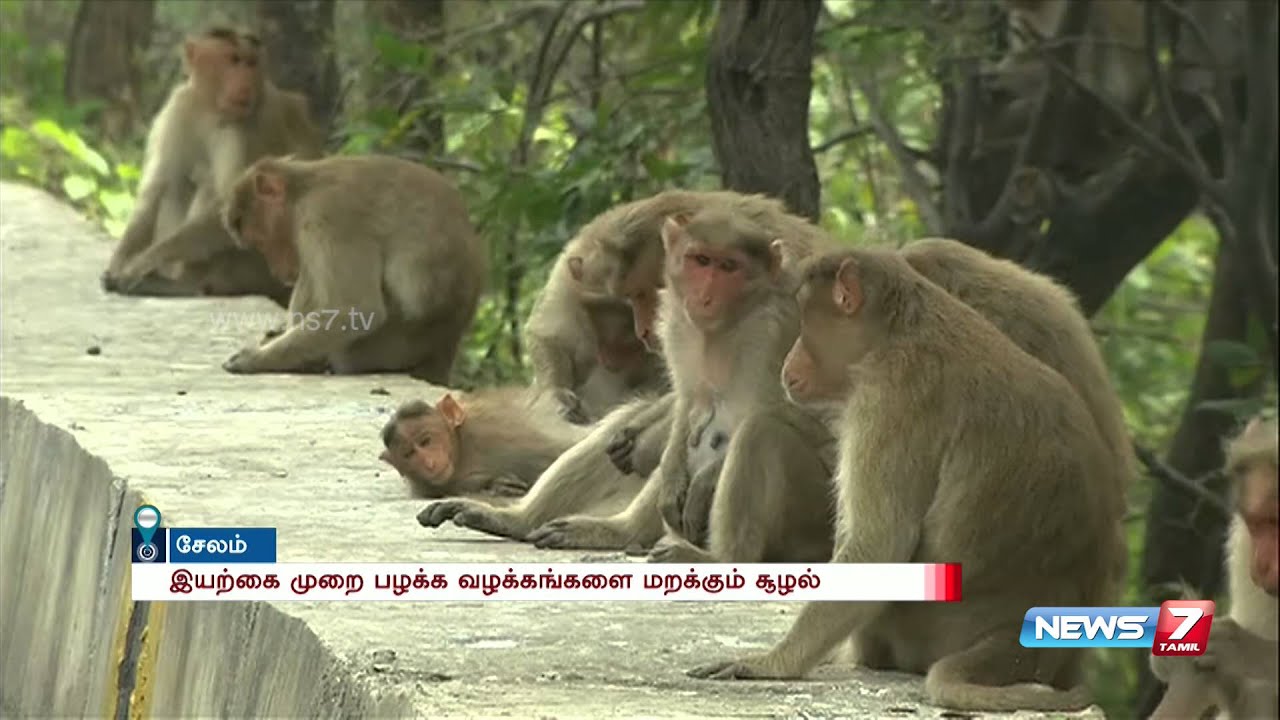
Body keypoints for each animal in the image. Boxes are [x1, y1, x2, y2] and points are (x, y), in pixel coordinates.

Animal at [103, 27, 323, 305]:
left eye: (251, 63)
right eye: (234, 60)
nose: (245, 81)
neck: (211, 107)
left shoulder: (245, 127)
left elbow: (236, 200)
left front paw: (143, 262)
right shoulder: (181, 105)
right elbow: (157, 188)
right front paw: (119, 260)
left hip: (261, 263)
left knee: (208, 183)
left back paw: (184, 284)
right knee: (177, 185)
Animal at [218, 155, 487, 385]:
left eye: (262, 242)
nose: (277, 271)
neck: (305, 189)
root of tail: (445, 350)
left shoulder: (326, 215)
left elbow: (356, 308)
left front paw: (254, 358)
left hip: (382, 349)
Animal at [380, 389, 587, 500]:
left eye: (426, 441)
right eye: (408, 454)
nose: (429, 463)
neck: (462, 452)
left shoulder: (494, 430)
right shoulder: (428, 489)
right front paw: (500, 485)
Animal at [688, 248, 1127, 714]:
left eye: (805, 322)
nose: (789, 362)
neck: (896, 333)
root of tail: (1022, 635)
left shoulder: (888, 395)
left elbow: (879, 545)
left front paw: (772, 663)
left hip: (914, 631)